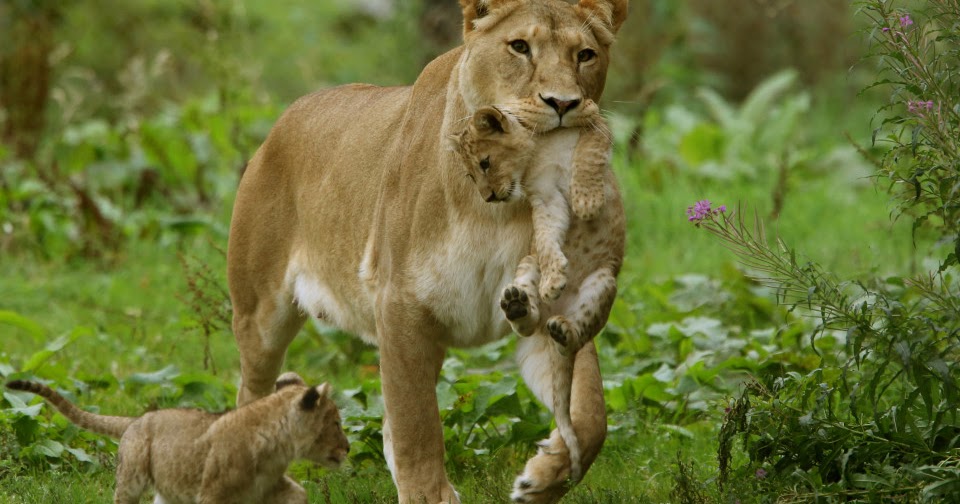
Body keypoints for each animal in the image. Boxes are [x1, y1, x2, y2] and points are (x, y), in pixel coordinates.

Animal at [5, 372, 348, 504]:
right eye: (336, 422)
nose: (347, 447)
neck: (280, 448)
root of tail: (137, 419)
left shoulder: (272, 488)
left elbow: (299, 494)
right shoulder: (212, 495)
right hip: (132, 478)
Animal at [451, 104, 623, 486]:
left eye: (484, 163)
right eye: (468, 174)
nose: (488, 197)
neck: (539, 149)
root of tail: (551, 317)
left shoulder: (596, 126)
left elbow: (589, 153)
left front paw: (587, 203)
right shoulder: (546, 198)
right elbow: (545, 237)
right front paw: (553, 278)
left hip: (604, 281)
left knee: (577, 336)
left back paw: (563, 329)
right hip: (525, 266)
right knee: (531, 321)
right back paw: (520, 305)